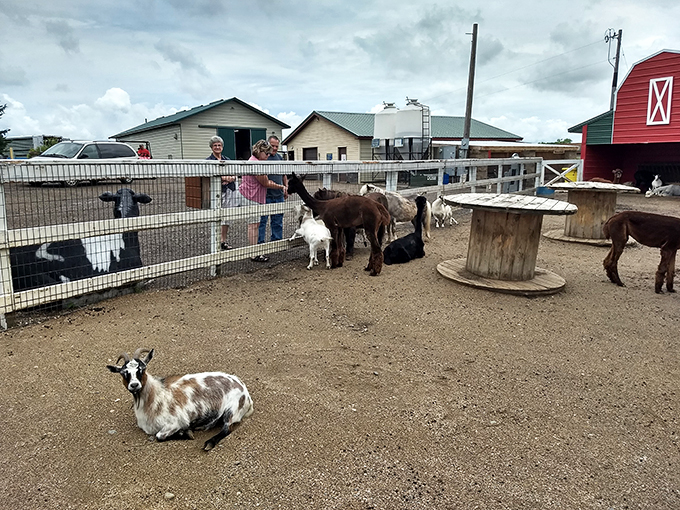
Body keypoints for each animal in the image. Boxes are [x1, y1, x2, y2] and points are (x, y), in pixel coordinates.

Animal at [107, 348, 253, 451]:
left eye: (142, 369)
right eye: (123, 373)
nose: (134, 385)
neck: (155, 395)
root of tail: (244, 390)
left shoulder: (175, 422)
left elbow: (159, 436)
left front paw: (187, 433)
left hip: (232, 409)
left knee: (227, 429)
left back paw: (209, 443)